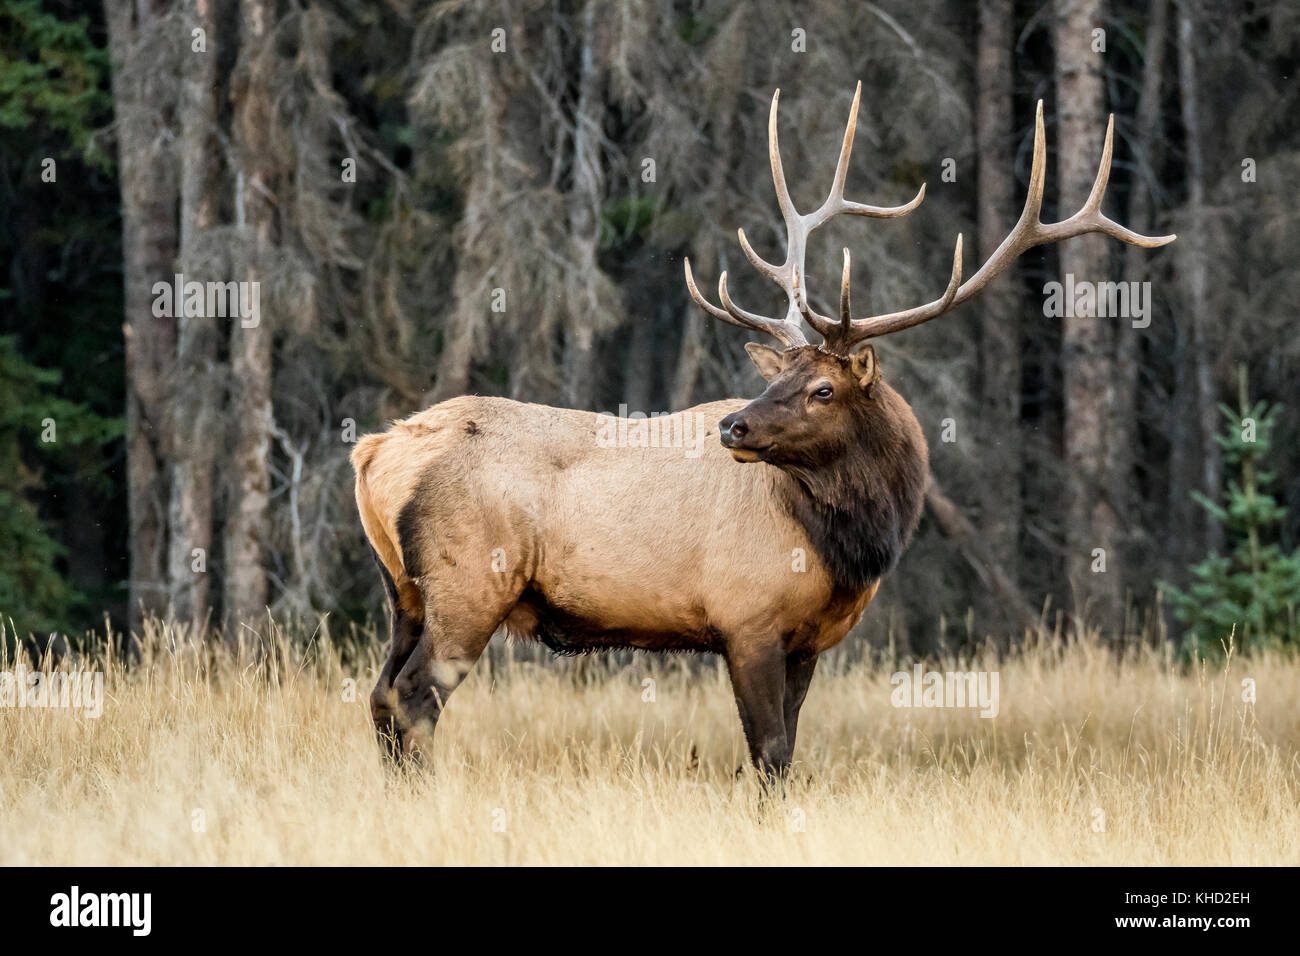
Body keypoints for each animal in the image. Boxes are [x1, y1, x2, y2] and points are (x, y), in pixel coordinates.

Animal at [351, 82, 1173, 783]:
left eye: (819, 387)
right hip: (469, 584)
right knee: (414, 699)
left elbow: (786, 748)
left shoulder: (808, 640)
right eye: (785, 380)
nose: (733, 425)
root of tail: (376, 450)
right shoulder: (745, 619)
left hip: (405, 594)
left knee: (380, 696)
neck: (845, 543)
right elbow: (771, 755)